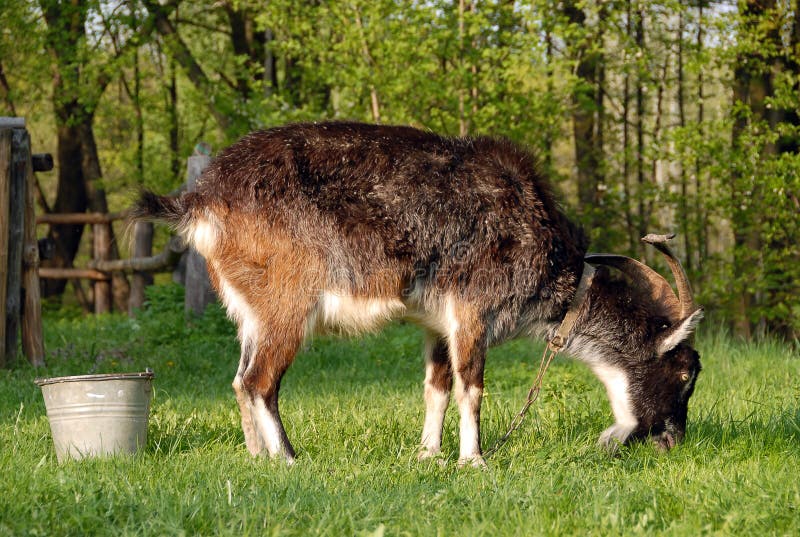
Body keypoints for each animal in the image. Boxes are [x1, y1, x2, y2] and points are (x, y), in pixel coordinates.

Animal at [134, 121, 702, 466]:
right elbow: (472, 387)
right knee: (259, 381)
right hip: (286, 305)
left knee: (238, 378)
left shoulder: (436, 324)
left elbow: (437, 386)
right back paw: (290, 459)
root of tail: (200, 200)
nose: (672, 440)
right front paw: (474, 460)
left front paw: (428, 454)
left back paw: (257, 458)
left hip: (249, 309)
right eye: (685, 374)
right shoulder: (472, 311)